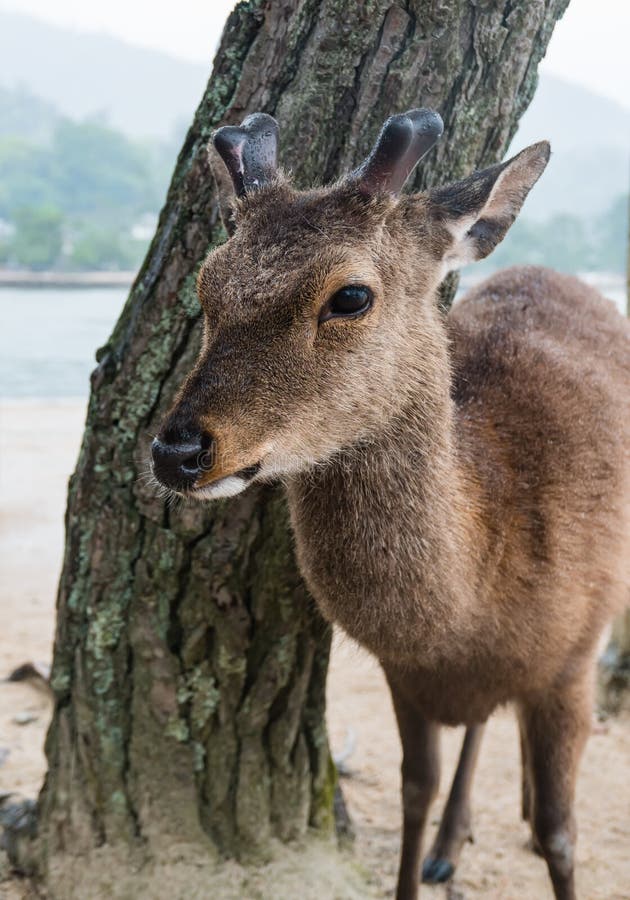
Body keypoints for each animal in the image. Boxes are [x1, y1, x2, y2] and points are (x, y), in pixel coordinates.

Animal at [150, 109, 630, 900]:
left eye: (351, 295)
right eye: (206, 282)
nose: (177, 450)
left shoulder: (570, 661)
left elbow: (561, 835)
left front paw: (541, 827)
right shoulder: (402, 675)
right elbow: (414, 791)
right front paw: (423, 856)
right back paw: (451, 845)